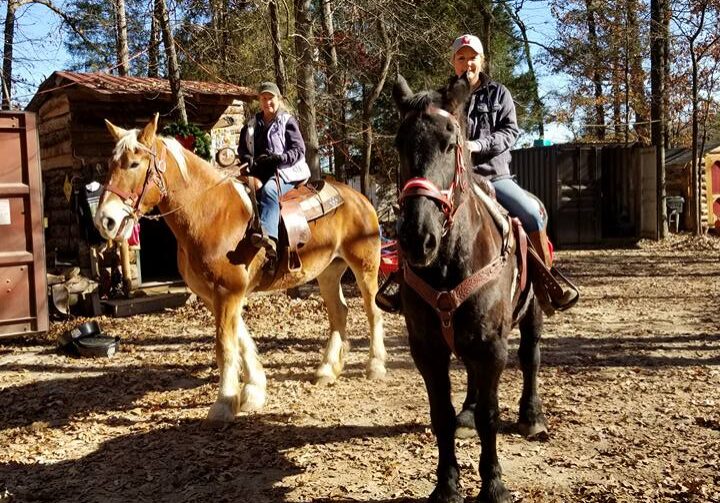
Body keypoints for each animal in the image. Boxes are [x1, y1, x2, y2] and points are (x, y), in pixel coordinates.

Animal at [93, 115, 386, 423]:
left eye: (134, 164)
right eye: (110, 163)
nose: (105, 220)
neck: (209, 213)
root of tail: (359, 198)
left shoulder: (227, 291)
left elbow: (225, 345)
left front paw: (224, 402)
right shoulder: (215, 295)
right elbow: (241, 340)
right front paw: (253, 391)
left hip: (365, 266)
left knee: (372, 311)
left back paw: (375, 365)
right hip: (328, 272)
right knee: (338, 312)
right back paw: (327, 369)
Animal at [392, 74, 548, 503]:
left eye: (452, 144)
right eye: (398, 144)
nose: (417, 238)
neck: (449, 263)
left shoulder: (493, 346)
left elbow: (490, 417)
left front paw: (493, 484)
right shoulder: (427, 349)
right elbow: (441, 414)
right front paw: (447, 484)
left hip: (531, 313)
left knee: (531, 356)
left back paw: (531, 416)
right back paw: (468, 410)